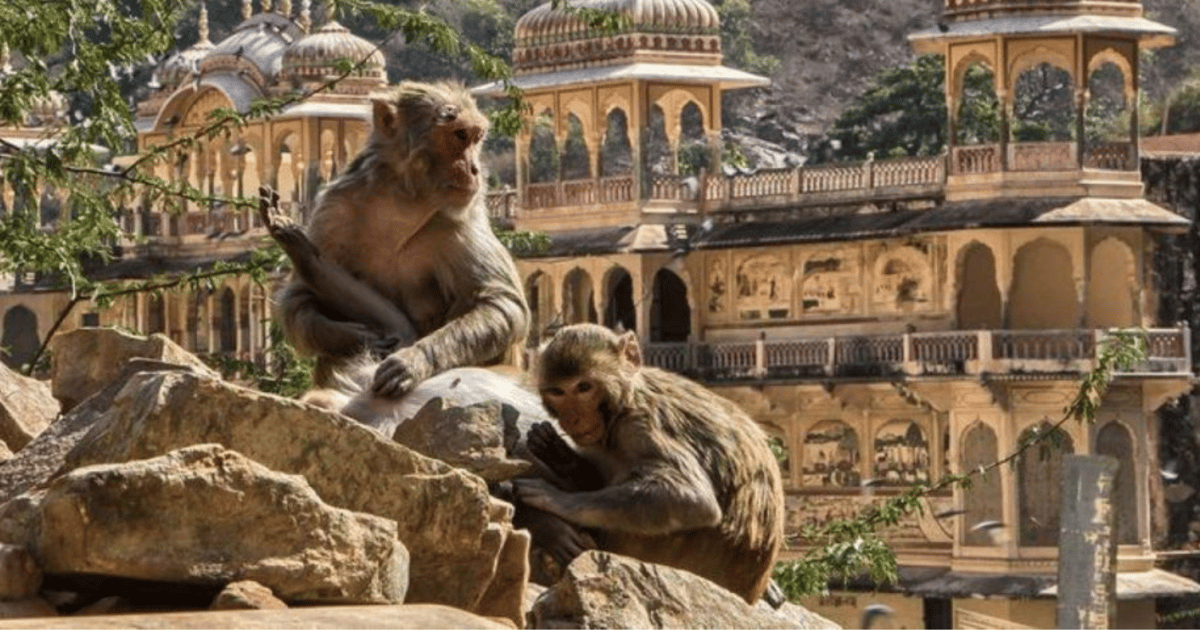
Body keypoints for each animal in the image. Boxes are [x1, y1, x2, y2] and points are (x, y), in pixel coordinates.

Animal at [276, 81, 529, 396]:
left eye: (476, 137)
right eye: (459, 135)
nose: (475, 170)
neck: (403, 204)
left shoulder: (461, 220)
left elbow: (501, 303)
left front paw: (413, 360)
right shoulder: (333, 209)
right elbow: (301, 298)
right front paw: (357, 338)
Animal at [512, 323, 785, 604]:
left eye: (584, 387)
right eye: (558, 392)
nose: (573, 418)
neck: (624, 400)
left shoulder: (639, 426)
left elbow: (692, 498)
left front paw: (553, 499)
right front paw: (558, 454)